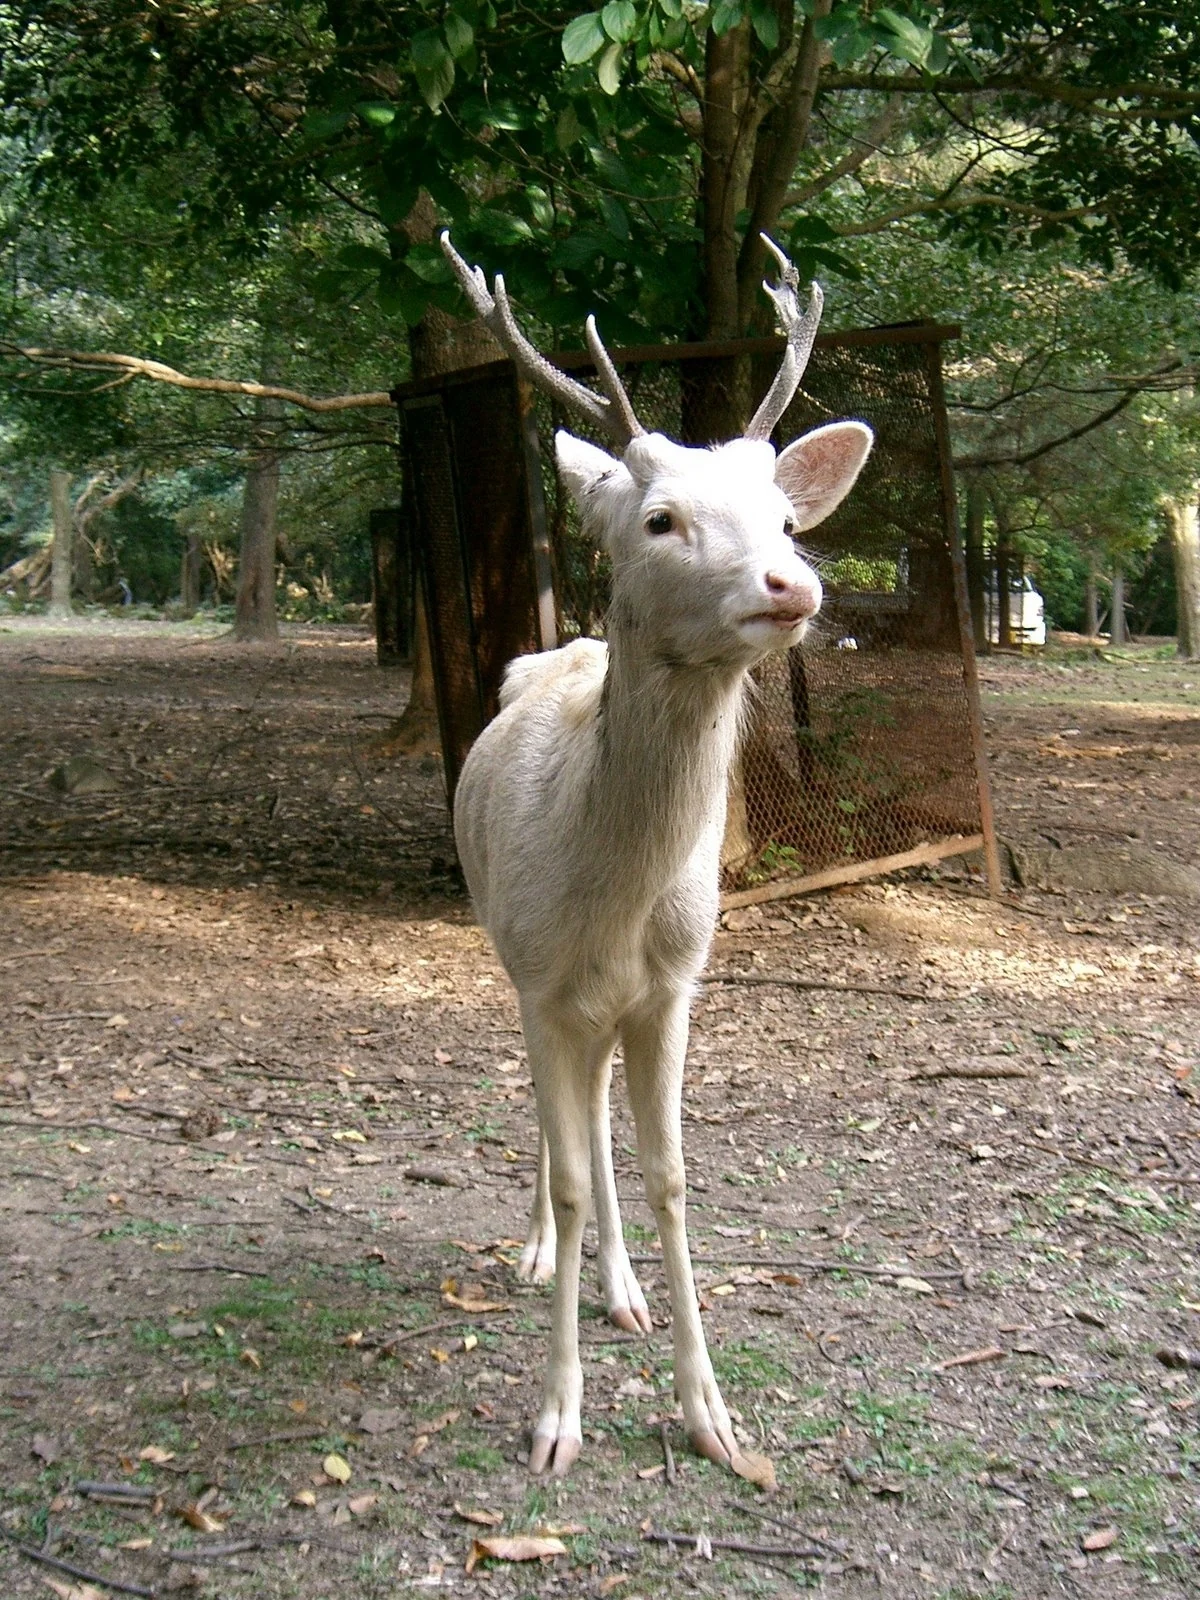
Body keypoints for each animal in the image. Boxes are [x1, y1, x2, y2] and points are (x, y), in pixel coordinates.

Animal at [440, 230, 873, 1477]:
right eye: (660, 520)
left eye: (786, 518)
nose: (791, 584)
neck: (618, 903)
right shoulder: (544, 979)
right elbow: (568, 1172)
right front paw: (556, 1419)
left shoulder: (676, 983)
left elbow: (670, 1173)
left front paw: (712, 1414)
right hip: (503, 950)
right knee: (557, 1132)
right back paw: (541, 1254)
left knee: (594, 1129)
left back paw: (622, 1290)